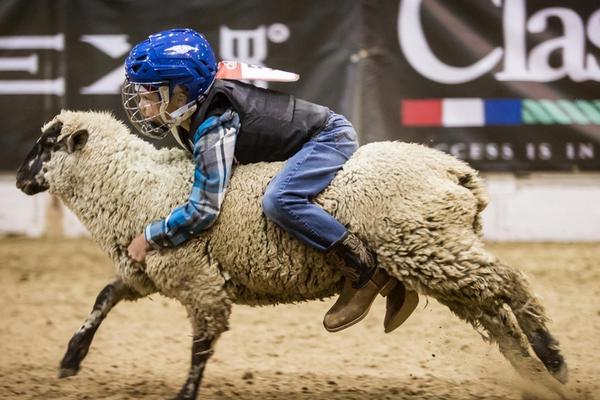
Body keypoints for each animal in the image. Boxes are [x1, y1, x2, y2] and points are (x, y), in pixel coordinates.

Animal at [14, 110, 568, 400]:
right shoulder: (146, 274)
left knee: (511, 284)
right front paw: (70, 360)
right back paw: (534, 377)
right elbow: (102, 300)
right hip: (436, 250)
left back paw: (554, 360)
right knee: (493, 312)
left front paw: (186, 393)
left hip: (427, 246)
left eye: (46, 144)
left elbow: (201, 344)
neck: (132, 185)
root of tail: (456, 171)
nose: (18, 181)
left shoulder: (197, 278)